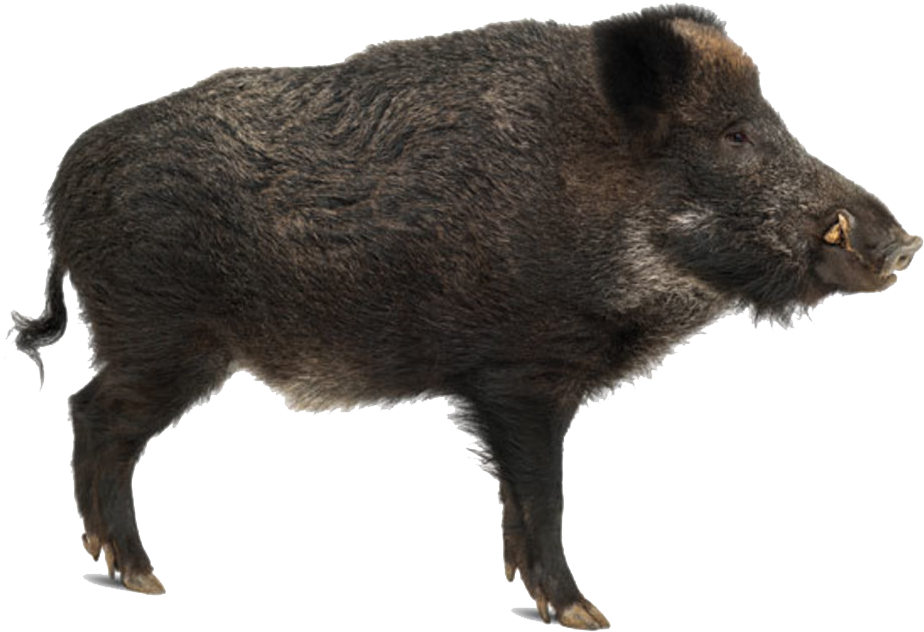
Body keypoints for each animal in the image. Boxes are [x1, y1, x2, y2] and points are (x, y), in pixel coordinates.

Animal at [8, 4, 920, 628]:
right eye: (734, 135)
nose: (905, 242)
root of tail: (62, 191)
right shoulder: (519, 374)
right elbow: (543, 491)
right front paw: (585, 616)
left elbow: (516, 499)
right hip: (164, 333)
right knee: (92, 414)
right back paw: (142, 577)